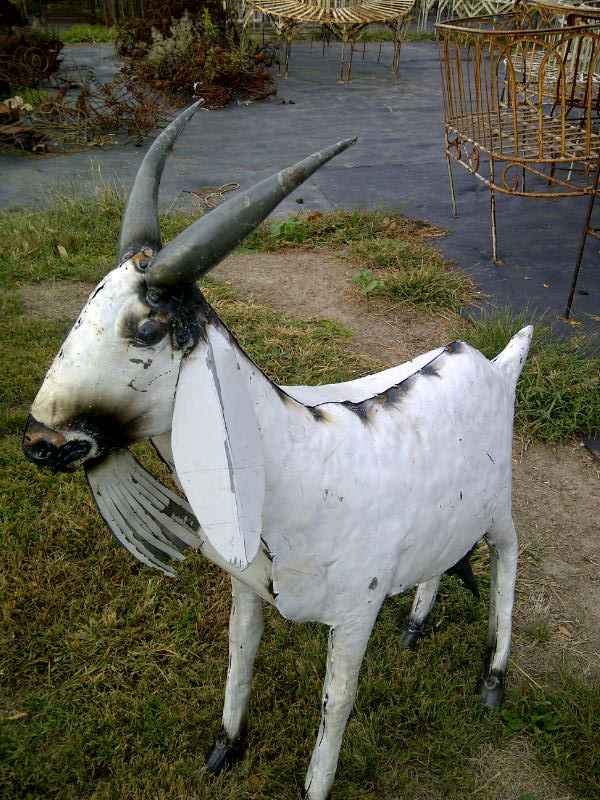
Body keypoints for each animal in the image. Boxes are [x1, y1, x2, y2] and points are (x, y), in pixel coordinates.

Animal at [23, 102, 532, 800]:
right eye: (84, 308)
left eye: (149, 329)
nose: (41, 441)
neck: (298, 465)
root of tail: (494, 362)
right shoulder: (248, 589)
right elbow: (239, 656)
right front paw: (224, 750)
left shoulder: (355, 612)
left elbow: (336, 703)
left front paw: (314, 785)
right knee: (438, 560)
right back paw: (414, 628)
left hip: (499, 506)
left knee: (510, 559)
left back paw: (493, 682)